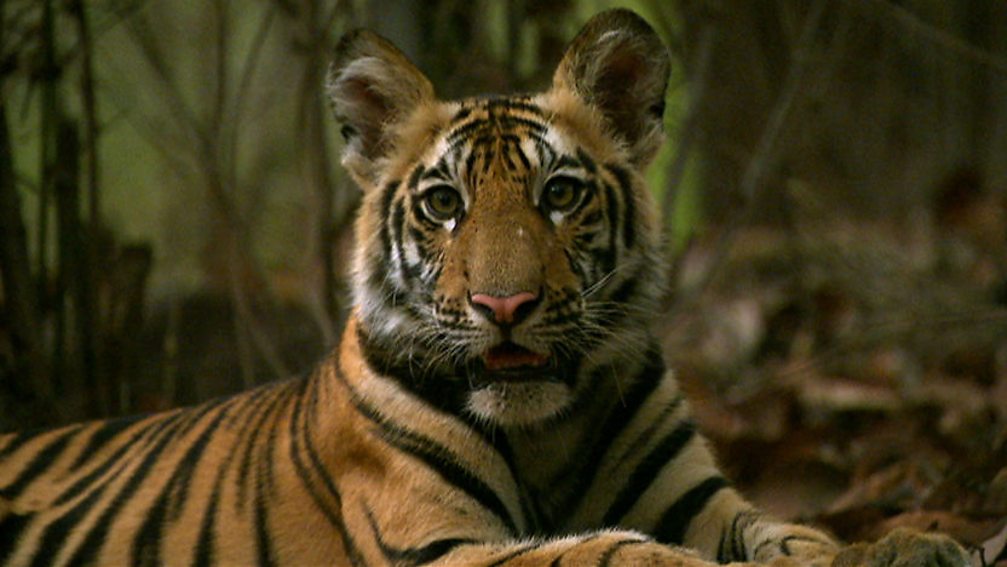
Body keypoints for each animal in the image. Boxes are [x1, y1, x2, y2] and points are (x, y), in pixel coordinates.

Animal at [0, 9, 973, 567]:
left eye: (559, 194)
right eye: (444, 204)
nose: (504, 306)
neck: (543, 432)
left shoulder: (702, 498)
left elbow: (794, 532)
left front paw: (908, 544)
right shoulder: (433, 545)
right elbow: (600, 555)